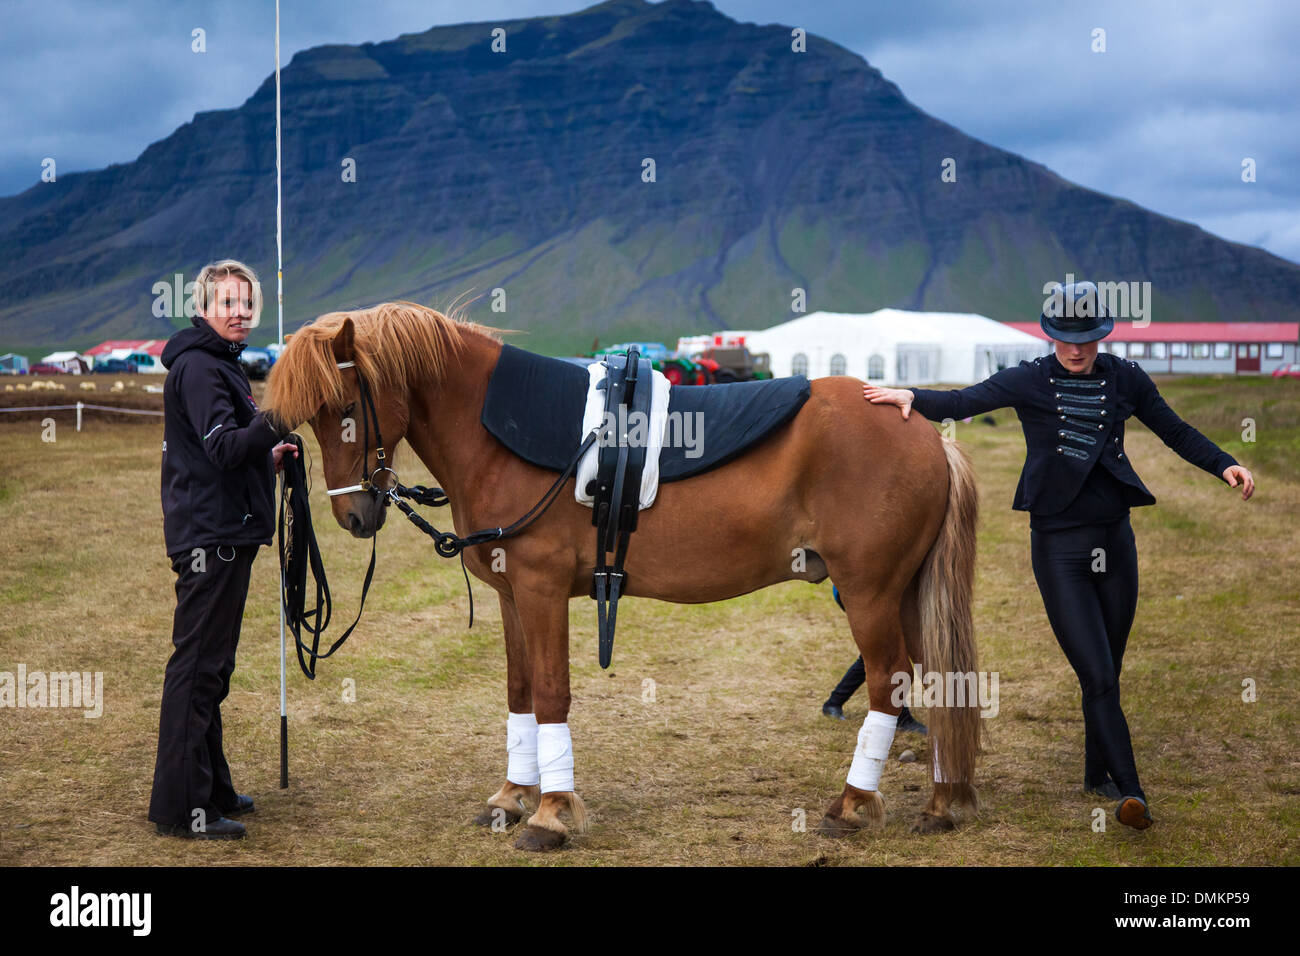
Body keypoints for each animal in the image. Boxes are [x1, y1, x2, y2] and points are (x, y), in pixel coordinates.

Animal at [263, 301, 981, 851]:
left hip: (868, 593)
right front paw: (513, 796)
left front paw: (551, 815)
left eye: (345, 404)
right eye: (311, 417)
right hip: (905, 592)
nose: (353, 515)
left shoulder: (543, 590)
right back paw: (943, 802)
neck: (495, 431)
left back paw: (854, 805)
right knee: (937, 680)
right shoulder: (512, 596)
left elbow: (551, 694)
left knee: (889, 683)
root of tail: (923, 428)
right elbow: (520, 691)